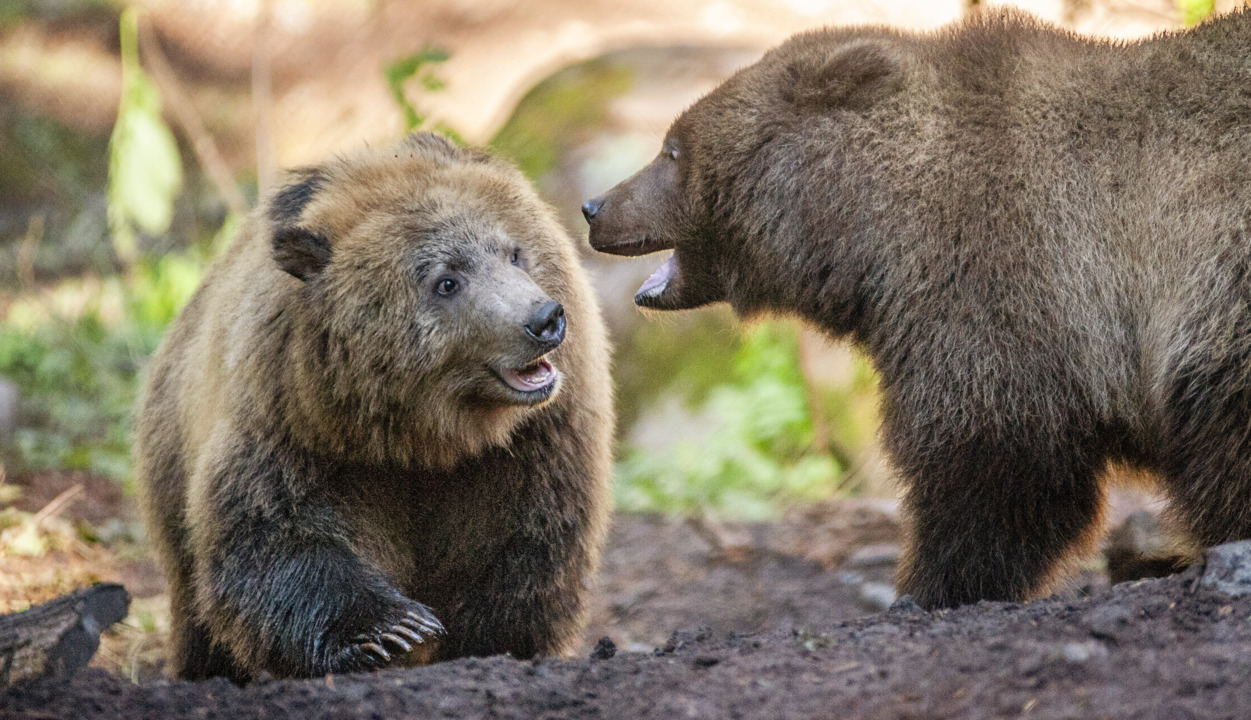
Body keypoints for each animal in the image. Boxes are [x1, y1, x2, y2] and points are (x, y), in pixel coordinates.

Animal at [135, 132, 614, 681]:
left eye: (514, 252)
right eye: (446, 280)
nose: (544, 318)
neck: (420, 437)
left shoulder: (529, 448)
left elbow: (522, 549)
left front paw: (487, 641)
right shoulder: (294, 427)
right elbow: (276, 533)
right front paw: (393, 629)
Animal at [584, 9, 1251, 609]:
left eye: (671, 148)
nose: (594, 207)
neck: (865, 231)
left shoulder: (997, 282)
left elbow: (994, 467)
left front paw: (927, 589)